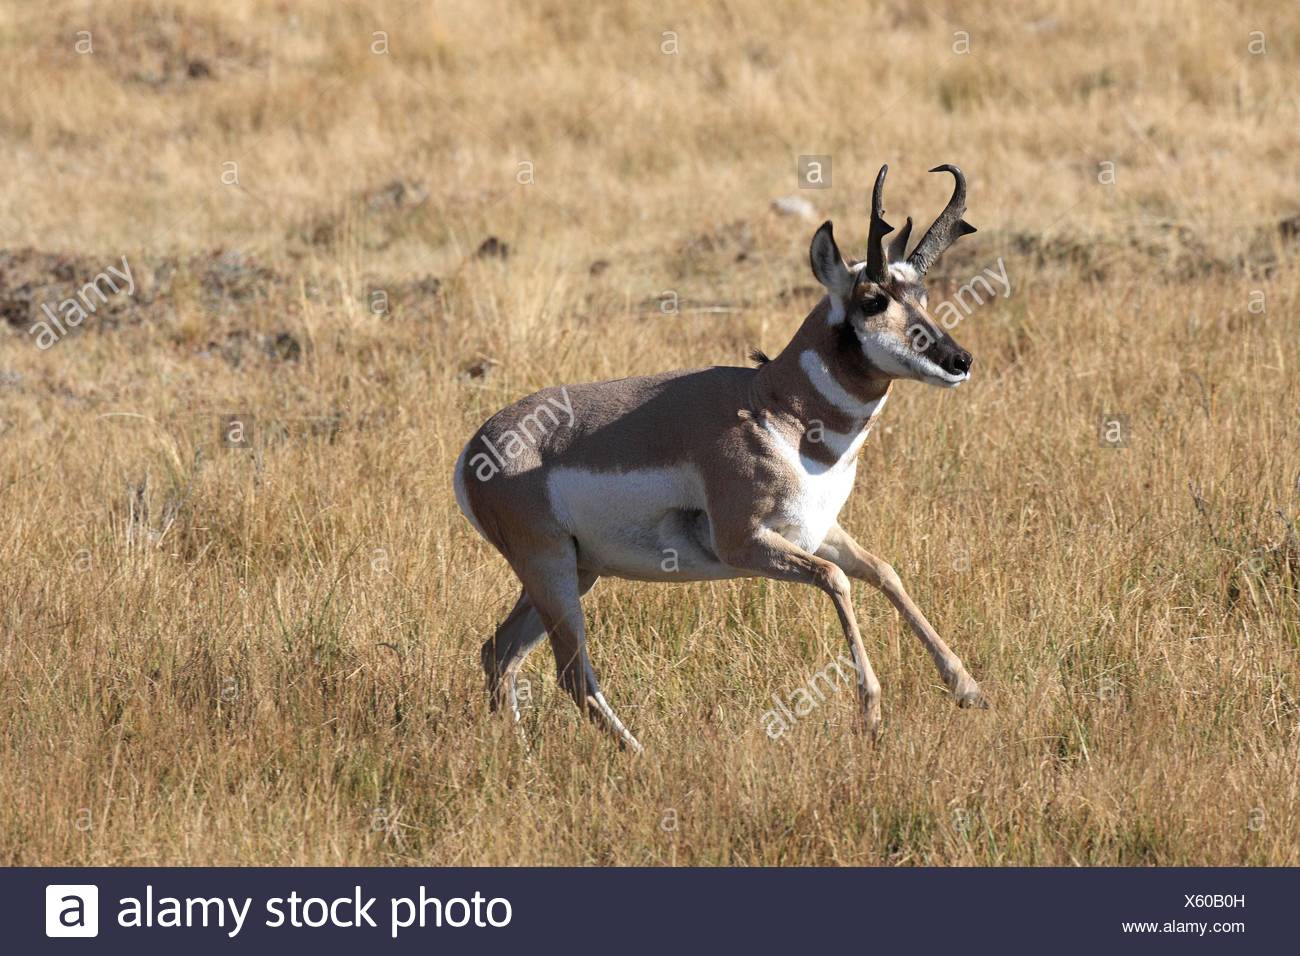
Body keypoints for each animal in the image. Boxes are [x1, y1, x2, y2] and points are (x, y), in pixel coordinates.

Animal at [454, 165, 987, 753]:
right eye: (872, 300)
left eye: (921, 293)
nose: (959, 360)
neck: (773, 406)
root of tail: (476, 449)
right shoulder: (747, 544)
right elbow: (836, 580)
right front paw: (869, 713)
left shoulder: (818, 531)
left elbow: (884, 571)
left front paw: (967, 687)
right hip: (550, 570)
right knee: (571, 675)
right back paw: (640, 755)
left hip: (575, 572)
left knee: (499, 652)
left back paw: (520, 754)